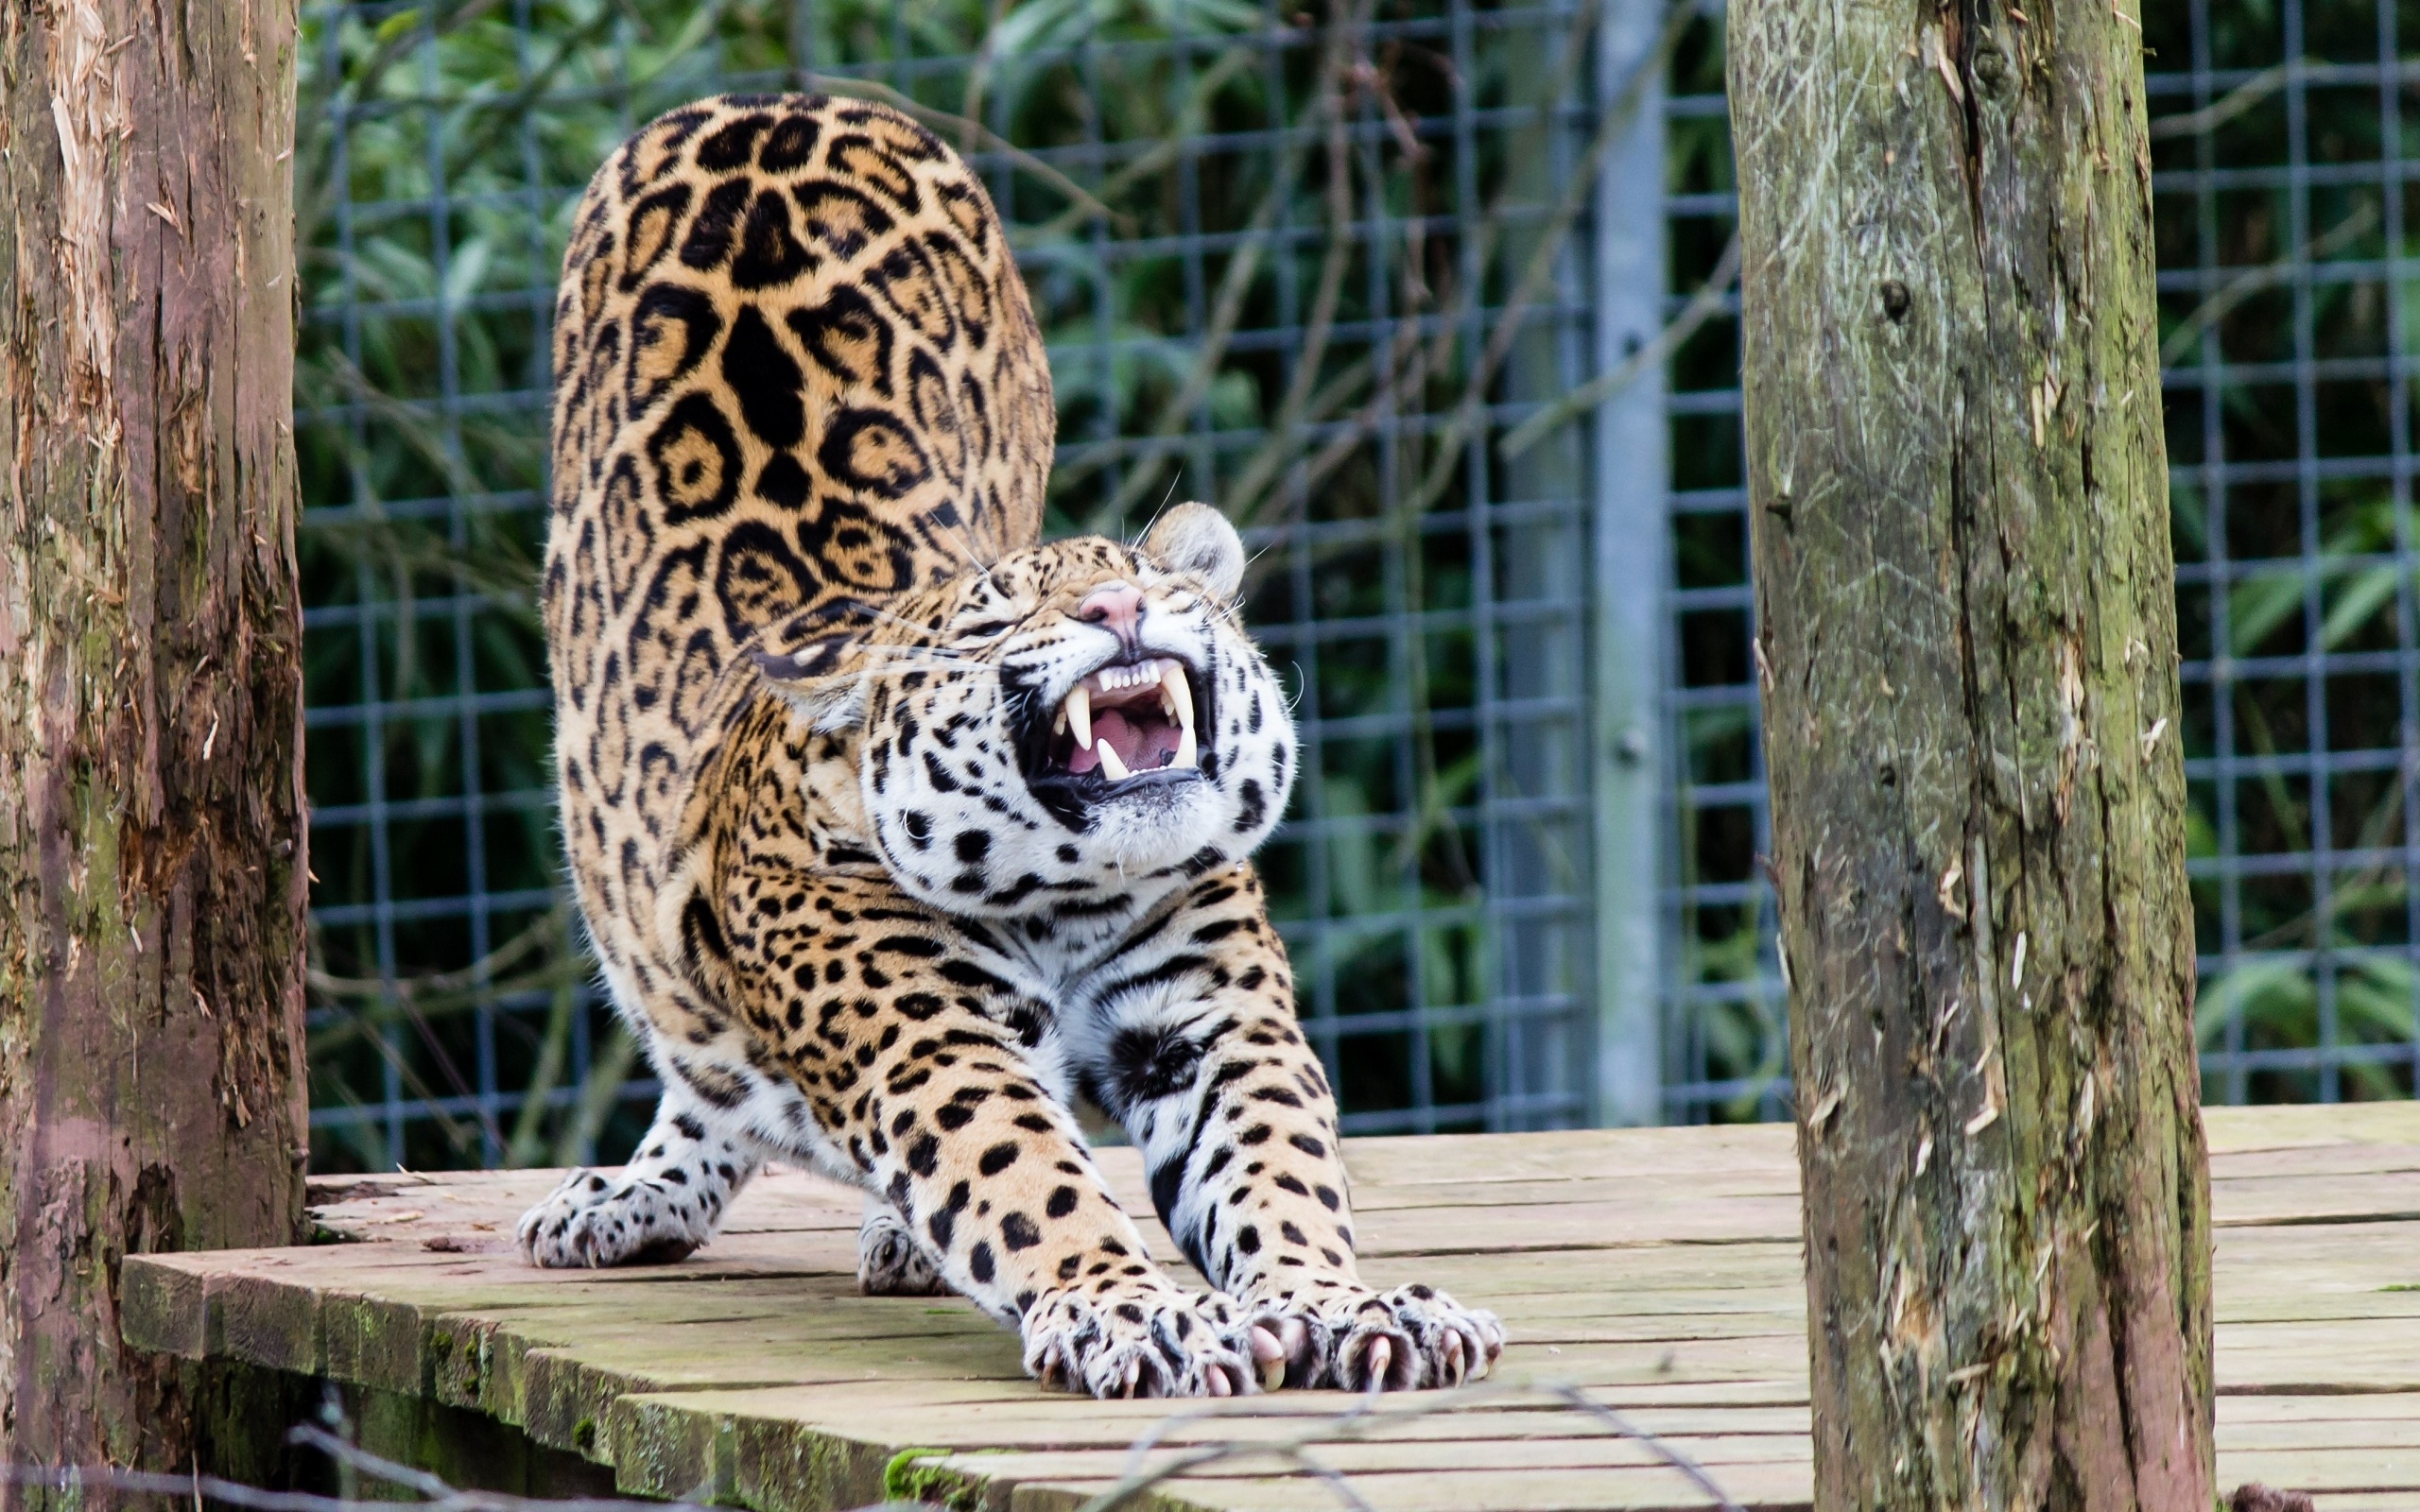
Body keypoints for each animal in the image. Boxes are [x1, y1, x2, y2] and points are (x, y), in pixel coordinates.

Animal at [518, 90, 1503, 1400]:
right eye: (995, 621)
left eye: (1149, 580)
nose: (1117, 608)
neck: (1067, 893)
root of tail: (765, 97)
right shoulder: (929, 1044)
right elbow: (1031, 1178)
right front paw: (1137, 1313)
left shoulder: (1207, 1022)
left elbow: (1278, 1168)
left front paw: (1339, 1301)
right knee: (700, 1049)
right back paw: (637, 1196)